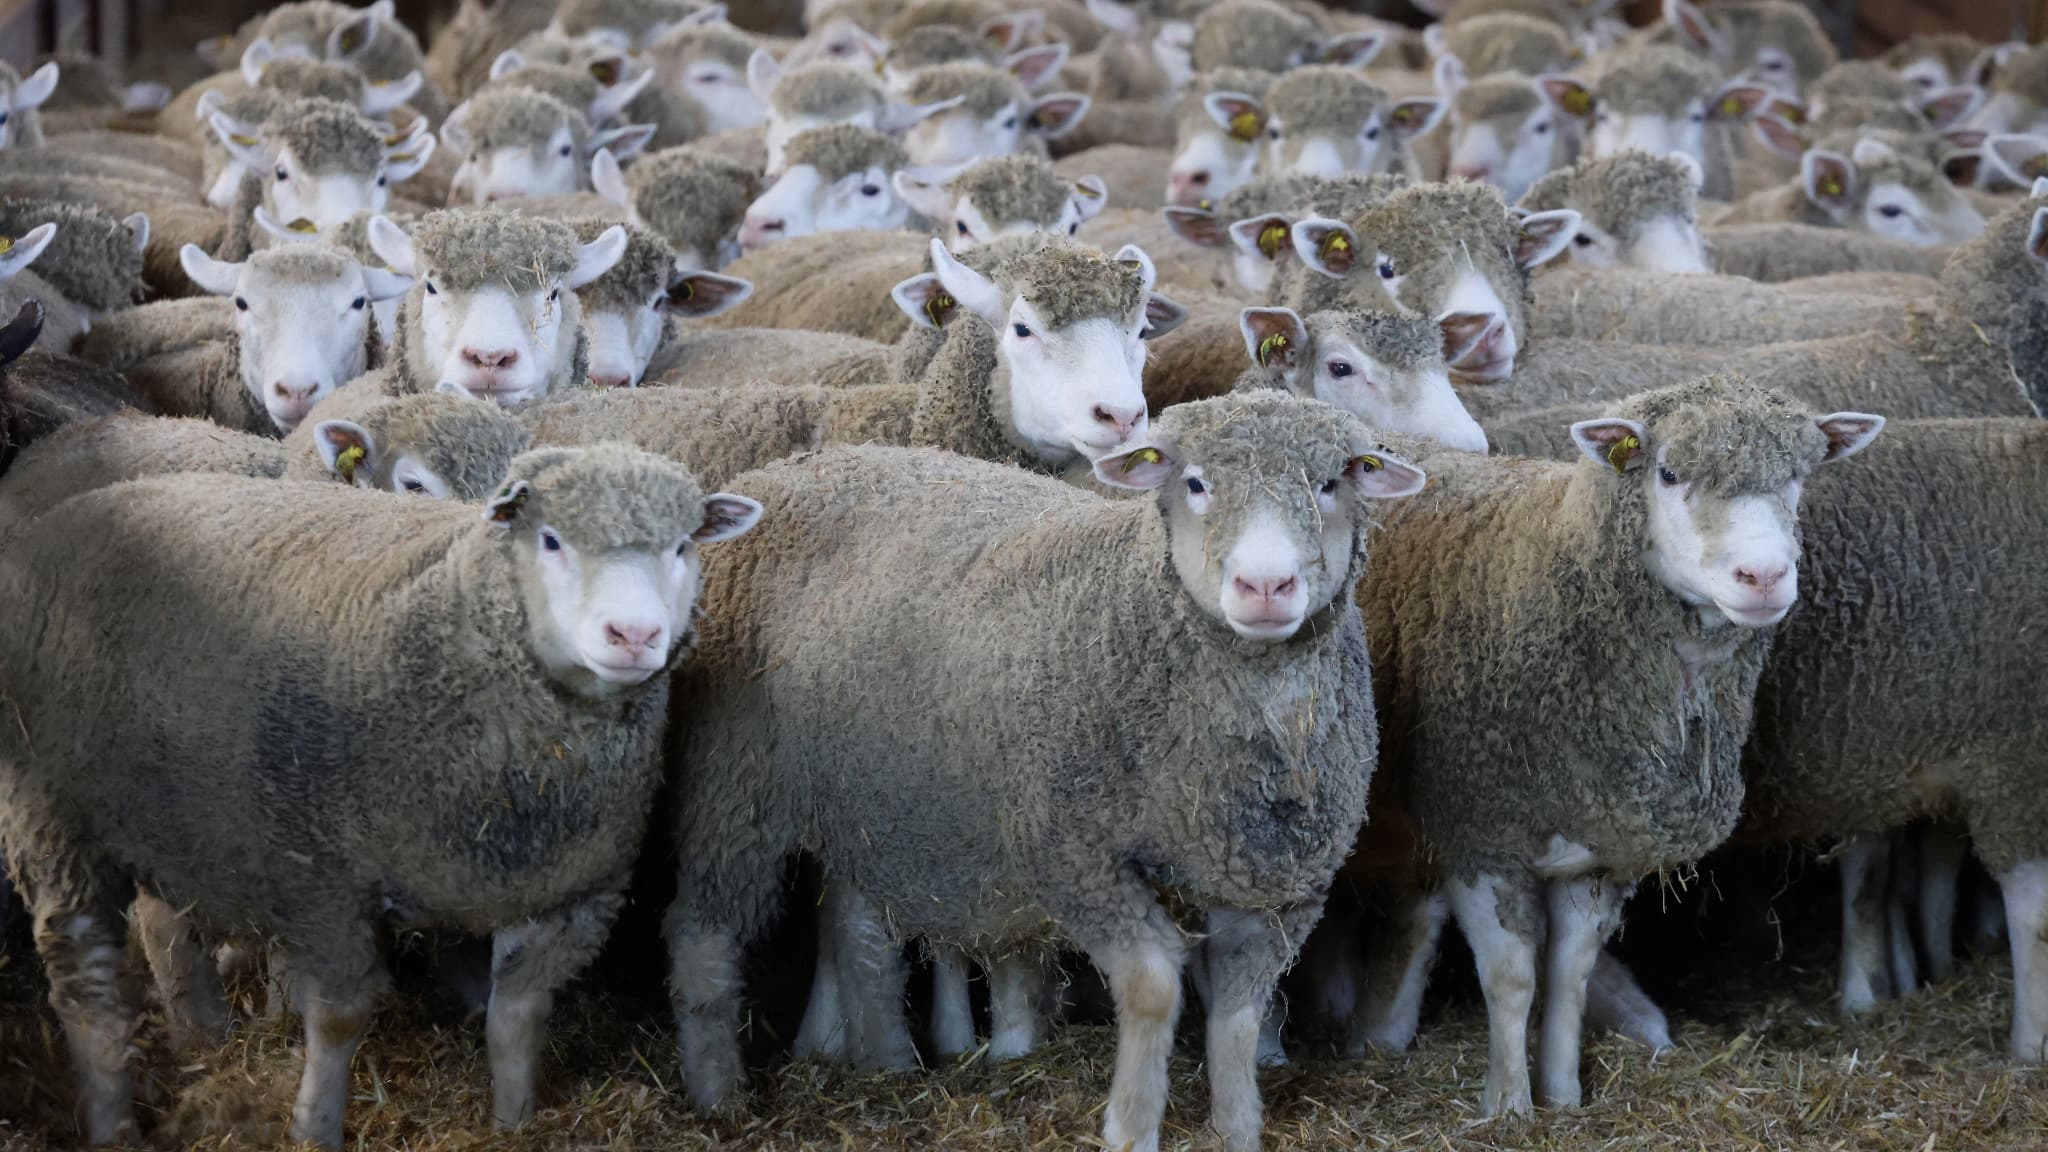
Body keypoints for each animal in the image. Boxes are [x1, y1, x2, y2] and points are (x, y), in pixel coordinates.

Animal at [0, 442, 757, 1148]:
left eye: (683, 544)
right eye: (550, 539)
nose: (634, 635)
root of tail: (73, 511)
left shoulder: (569, 896)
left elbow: (516, 1017)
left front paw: (514, 1120)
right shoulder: (323, 885)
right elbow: (338, 1021)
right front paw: (315, 1126)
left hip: (171, 814)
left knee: (164, 924)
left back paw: (204, 1038)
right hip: (52, 811)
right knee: (86, 979)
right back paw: (113, 1121)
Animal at [667, 391, 1424, 1152]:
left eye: (1330, 483)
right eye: (1196, 483)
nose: (1265, 585)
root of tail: (792, 467)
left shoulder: (1275, 890)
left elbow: (1237, 1020)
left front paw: (1237, 1129)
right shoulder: (1072, 853)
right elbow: (1153, 986)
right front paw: (1129, 1126)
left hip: (871, 795)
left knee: (856, 926)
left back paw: (881, 1060)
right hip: (733, 780)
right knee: (705, 935)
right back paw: (719, 1096)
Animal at [1354, 375, 1880, 1115]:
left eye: (1798, 476)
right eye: (1668, 473)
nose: (1764, 578)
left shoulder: (1597, 848)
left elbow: (1569, 973)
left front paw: (1564, 1095)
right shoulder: (1480, 830)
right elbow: (1512, 976)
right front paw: (1509, 1108)